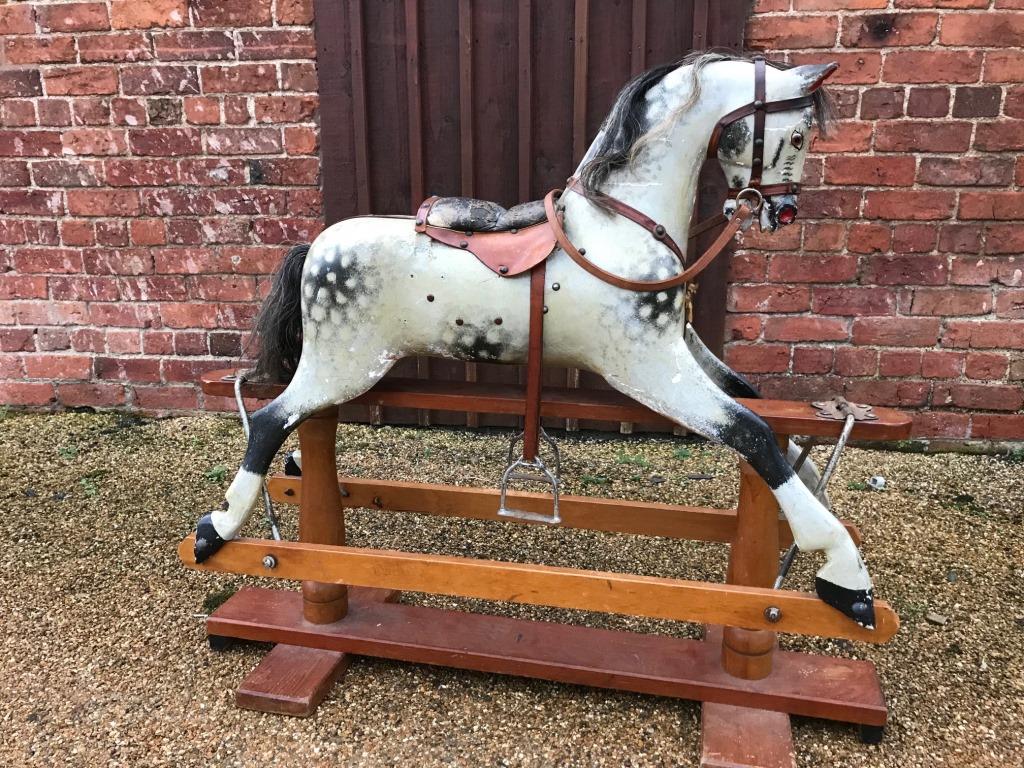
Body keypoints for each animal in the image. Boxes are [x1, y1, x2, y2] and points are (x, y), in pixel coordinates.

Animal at [192, 52, 877, 630]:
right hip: (343, 364)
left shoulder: (681, 351)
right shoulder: (648, 368)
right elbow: (753, 434)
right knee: (268, 420)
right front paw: (846, 577)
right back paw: (215, 528)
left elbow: (762, 409)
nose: (781, 213)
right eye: (797, 135)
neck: (623, 228)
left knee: (297, 423)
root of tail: (316, 247)